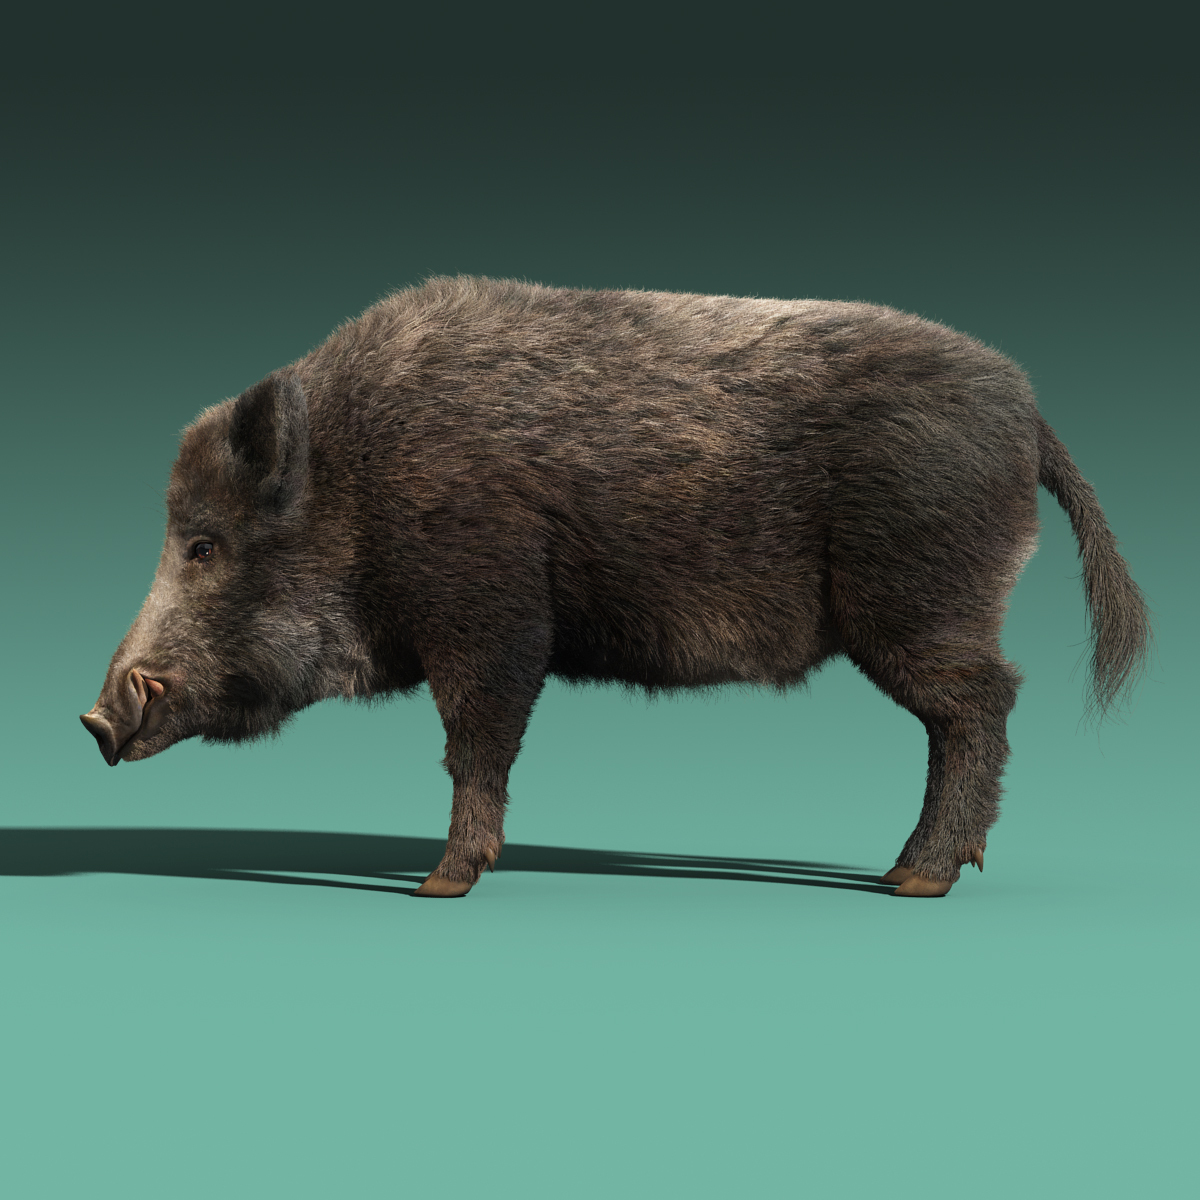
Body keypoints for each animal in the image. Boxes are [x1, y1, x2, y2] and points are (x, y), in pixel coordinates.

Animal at [81, 276, 1150, 898]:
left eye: (205, 545)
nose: (94, 717)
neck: (360, 480)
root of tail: (1028, 413)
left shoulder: (491, 616)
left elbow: (475, 741)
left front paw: (439, 885)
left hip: (920, 599)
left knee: (980, 704)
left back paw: (909, 880)